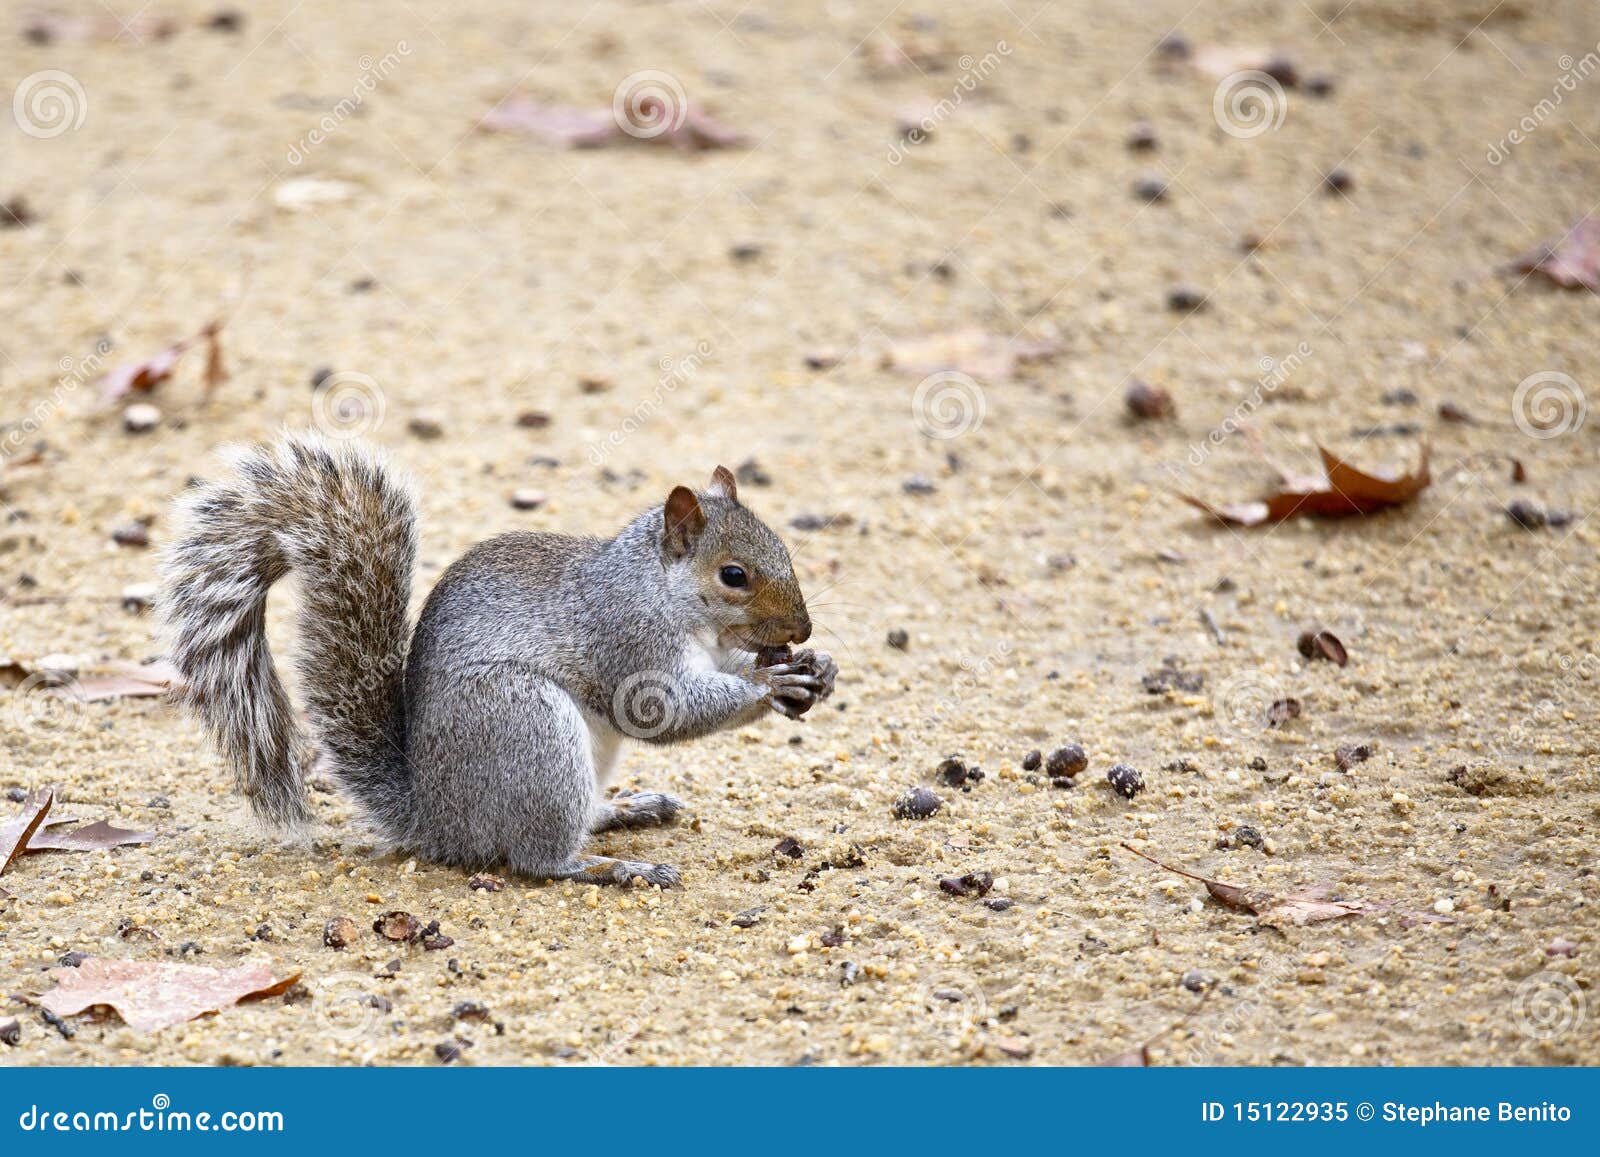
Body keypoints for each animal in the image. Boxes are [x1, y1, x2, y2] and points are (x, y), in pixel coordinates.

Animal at [159, 434, 836, 887]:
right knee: (540, 858)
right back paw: (612, 866)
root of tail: (436, 819)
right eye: (734, 575)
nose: (801, 627)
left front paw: (816, 668)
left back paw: (626, 810)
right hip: (527, 727)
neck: (663, 593)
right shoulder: (626, 639)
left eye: (783, 547)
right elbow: (660, 710)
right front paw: (766, 681)